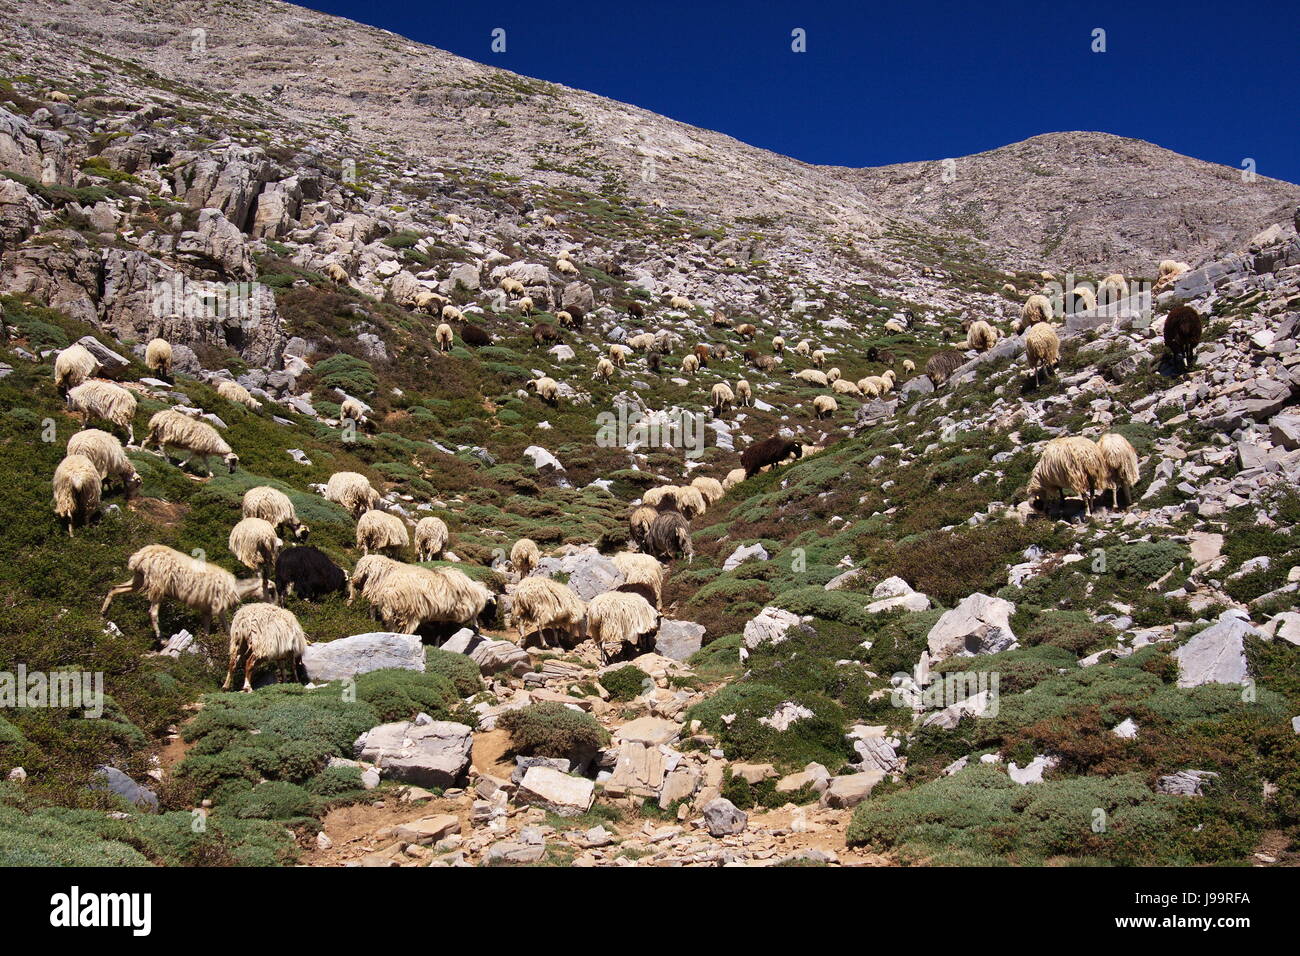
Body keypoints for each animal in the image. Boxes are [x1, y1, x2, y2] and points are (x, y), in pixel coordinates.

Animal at [102, 544, 261, 641]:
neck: (237, 588)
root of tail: (140, 557)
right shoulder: (218, 607)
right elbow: (228, 629)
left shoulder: (206, 610)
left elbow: (207, 629)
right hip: (157, 584)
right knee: (152, 612)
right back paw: (162, 640)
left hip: (139, 579)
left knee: (114, 588)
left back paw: (103, 613)